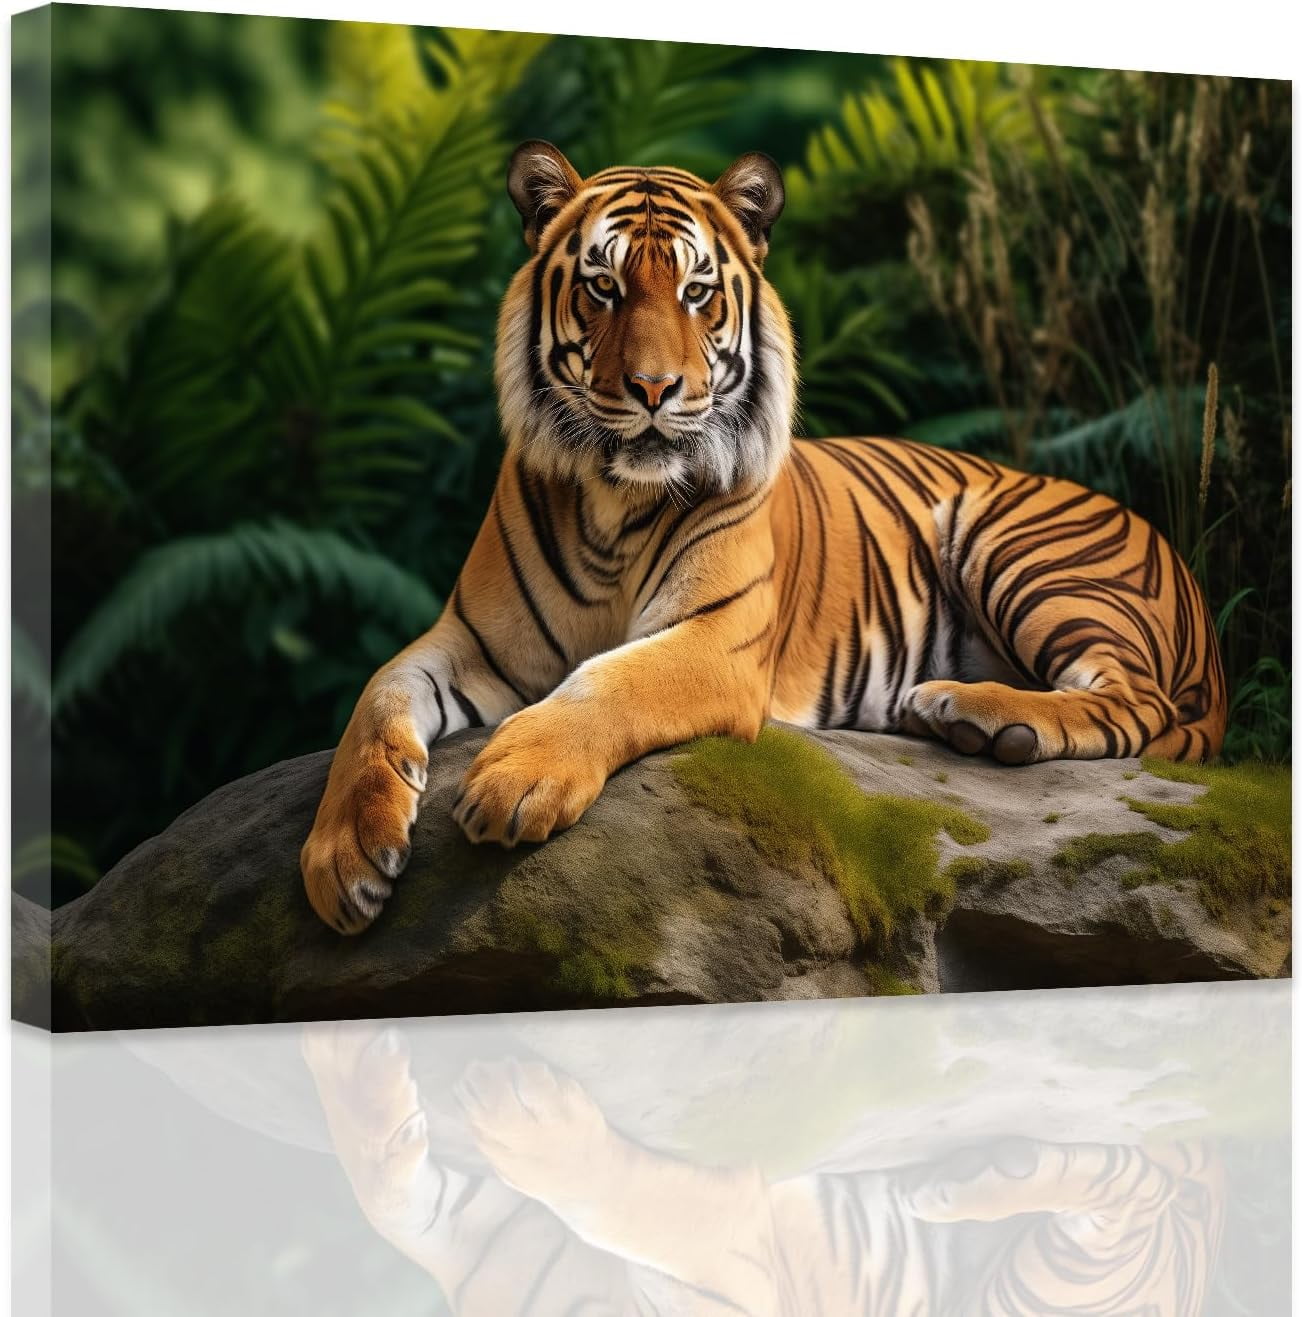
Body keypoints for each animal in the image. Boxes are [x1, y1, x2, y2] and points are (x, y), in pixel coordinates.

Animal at [301, 139, 1227, 934]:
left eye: (695, 293)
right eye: (603, 289)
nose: (654, 388)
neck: (613, 502)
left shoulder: (716, 639)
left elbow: (607, 681)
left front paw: (514, 780)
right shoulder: (474, 639)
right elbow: (376, 697)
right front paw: (343, 860)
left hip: (1018, 547)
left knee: (1133, 702)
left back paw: (977, 714)